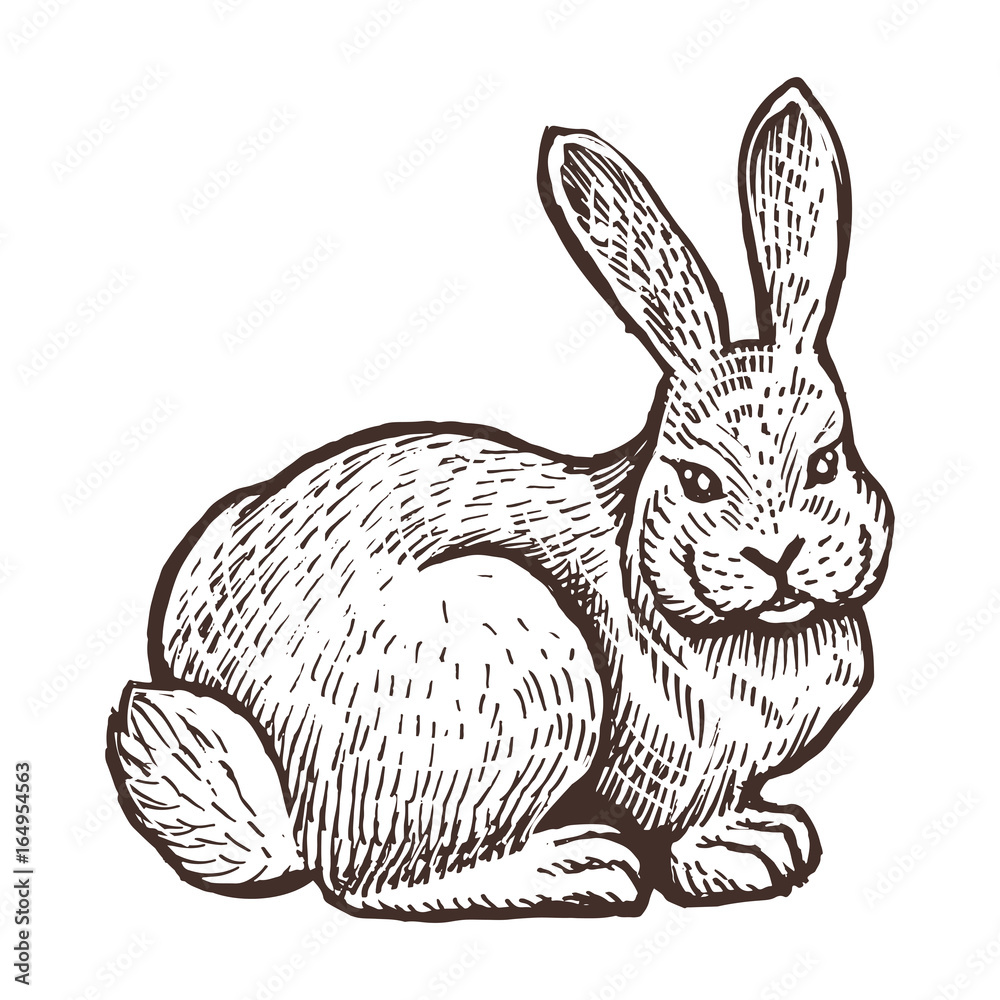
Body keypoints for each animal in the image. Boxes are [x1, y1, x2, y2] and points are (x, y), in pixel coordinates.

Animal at [107, 78, 892, 920]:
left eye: (826, 461)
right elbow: (684, 830)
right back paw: (579, 866)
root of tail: (293, 811)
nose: (778, 555)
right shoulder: (677, 775)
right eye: (700, 481)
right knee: (376, 882)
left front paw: (772, 833)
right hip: (514, 680)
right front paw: (740, 858)